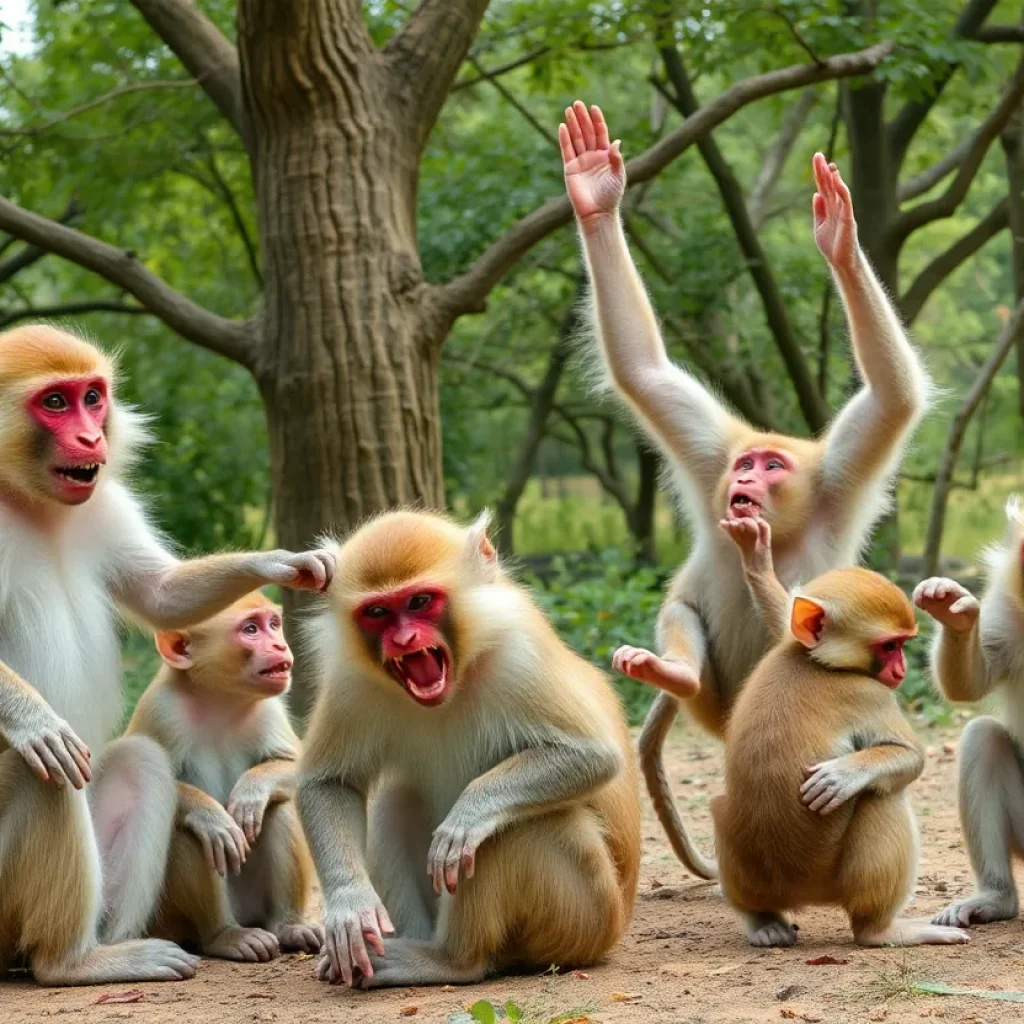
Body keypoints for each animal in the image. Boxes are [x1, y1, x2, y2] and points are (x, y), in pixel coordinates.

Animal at [125, 592, 322, 963]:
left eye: (273, 624)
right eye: (250, 629)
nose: (279, 644)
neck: (218, 697)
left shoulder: (271, 708)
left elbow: (299, 768)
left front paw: (251, 791)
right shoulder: (159, 709)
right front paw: (212, 816)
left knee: (278, 807)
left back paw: (289, 926)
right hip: (169, 920)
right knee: (187, 831)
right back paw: (225, 935)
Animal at [297, 510, 641, 989]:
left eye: (420, 601)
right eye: (378, 612)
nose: (403, 640)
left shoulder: (519, 654)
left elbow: (593, 756)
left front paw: (467, 815)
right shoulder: (352, 680)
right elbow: (330, 783)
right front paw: (350, 906)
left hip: (584, 922)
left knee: (516, 828)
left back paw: (451, 959)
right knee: (397, 800)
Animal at [560, 100, 930, 879]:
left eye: (773, 467)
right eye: (748, 463)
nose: (747, 478)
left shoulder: (838, 477)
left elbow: (894, 395)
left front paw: (841, 244)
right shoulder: (711, 456)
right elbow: (642, 368)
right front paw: (595, 195)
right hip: (716, 706)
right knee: (685, 611)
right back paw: (675, 673)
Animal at [711, 525, 968, 947]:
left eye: (902, 645)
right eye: (890, 646)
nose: (899, 671)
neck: (814, 662)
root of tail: (797, 891)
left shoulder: (791, 643)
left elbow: (782, 620)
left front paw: (756, 558)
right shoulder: (868, 695)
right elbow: (910, 756)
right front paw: (847, 774)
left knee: (717, 805)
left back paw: (761, 920)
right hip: (830, 878)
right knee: (883, 798)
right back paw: (879, 928)